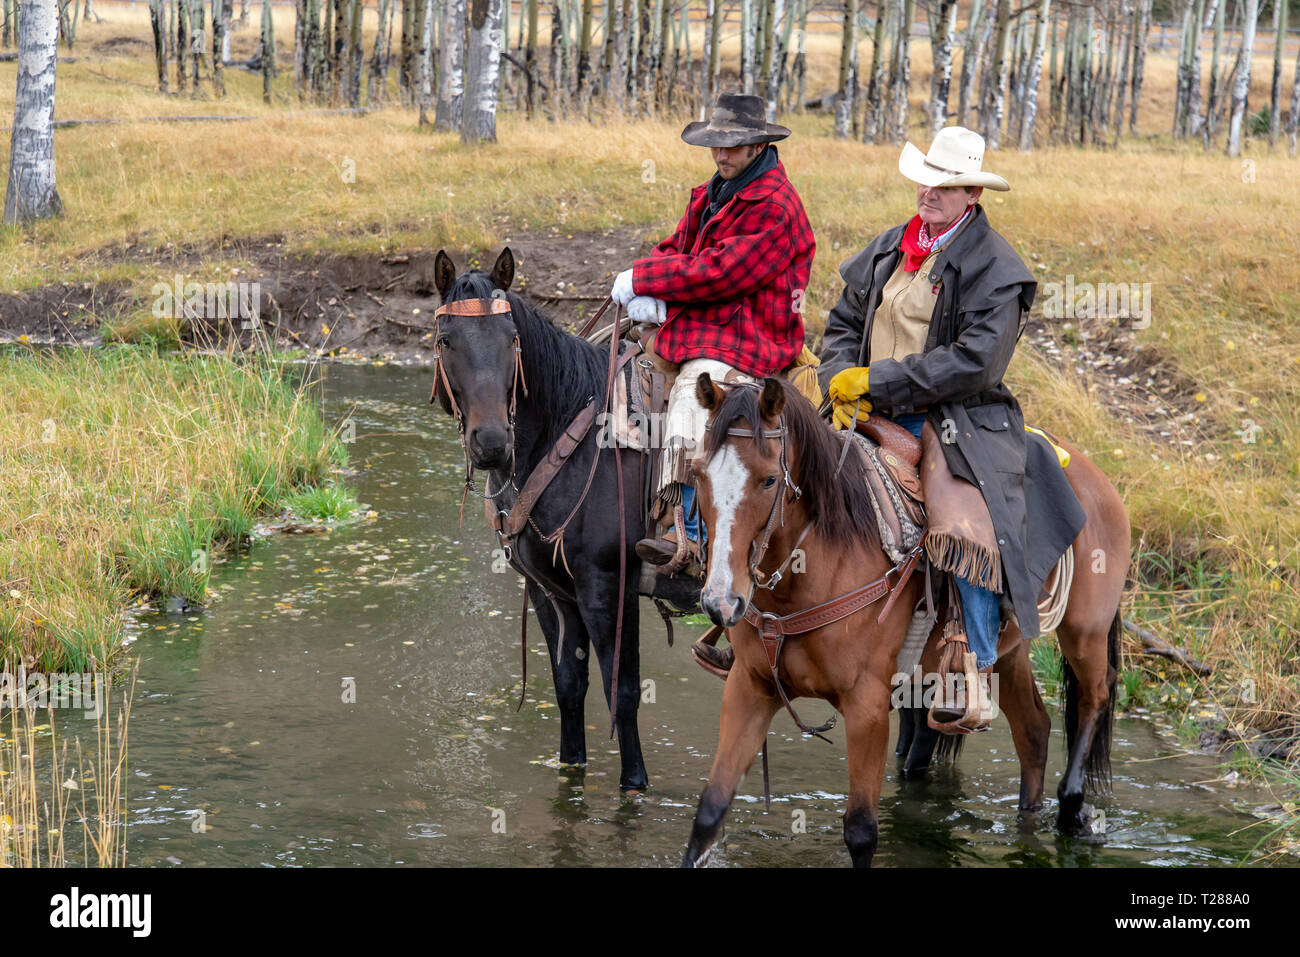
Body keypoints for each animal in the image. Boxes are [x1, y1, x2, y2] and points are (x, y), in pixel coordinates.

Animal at [429, 247, 649, 790]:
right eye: (446, 340)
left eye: (512, 340)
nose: (491, 443)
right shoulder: (550, 590)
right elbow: (569, 684)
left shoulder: (609, 585)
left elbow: (623, 693)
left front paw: (634, 786)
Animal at [681, 374, 1130, 867]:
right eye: (698, 473)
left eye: (768, 479)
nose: (721, 602)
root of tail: (1098, 479)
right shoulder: (750, 687)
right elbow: (711, 809)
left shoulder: (867, 707)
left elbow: (861, 831)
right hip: (1011, 652)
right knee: (1034, 732)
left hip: (1085, 632)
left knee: (1094, 696)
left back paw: (1072, 805)